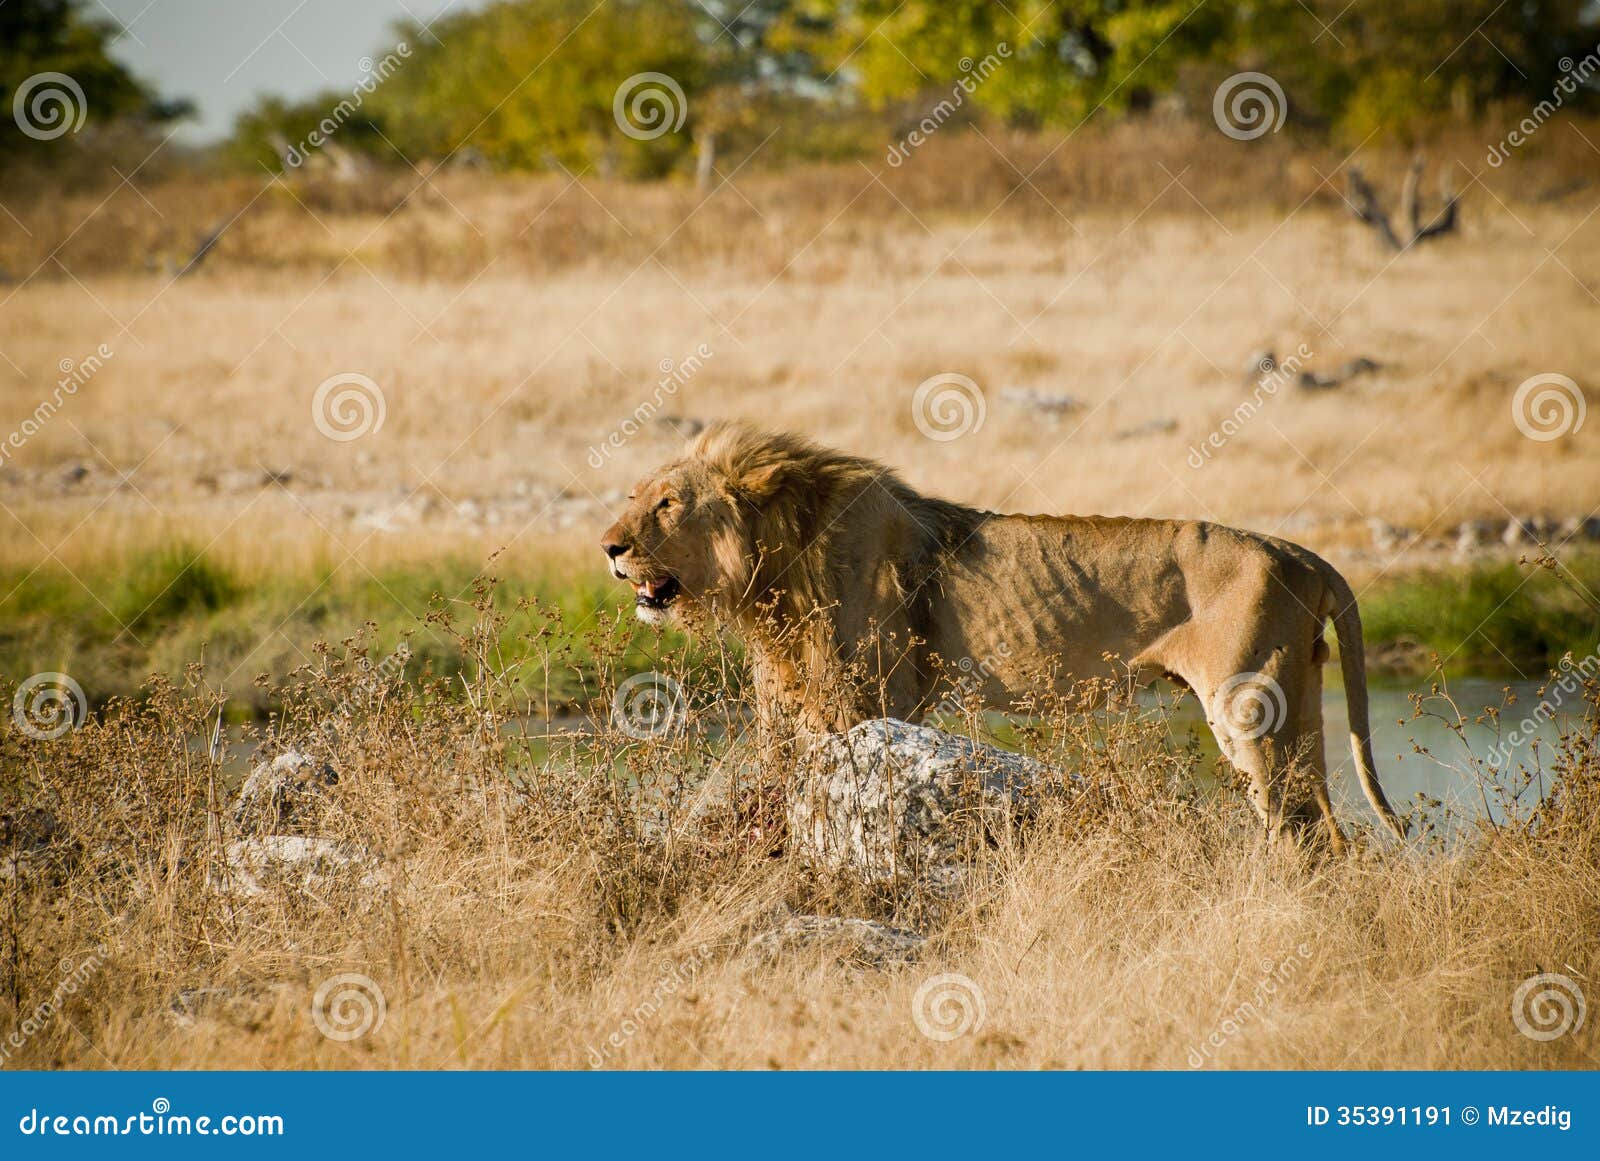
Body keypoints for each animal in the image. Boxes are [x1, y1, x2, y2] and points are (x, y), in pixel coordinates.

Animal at [600, 423, 1406, 851]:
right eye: (632, 498)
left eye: (667, 504)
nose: (609, 547)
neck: (773, 561)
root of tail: (1298, 551)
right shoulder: (790, 705)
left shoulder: (871, 699)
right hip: (1297, 704)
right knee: (1322, 830)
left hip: (1252, 712)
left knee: (1305, 833)